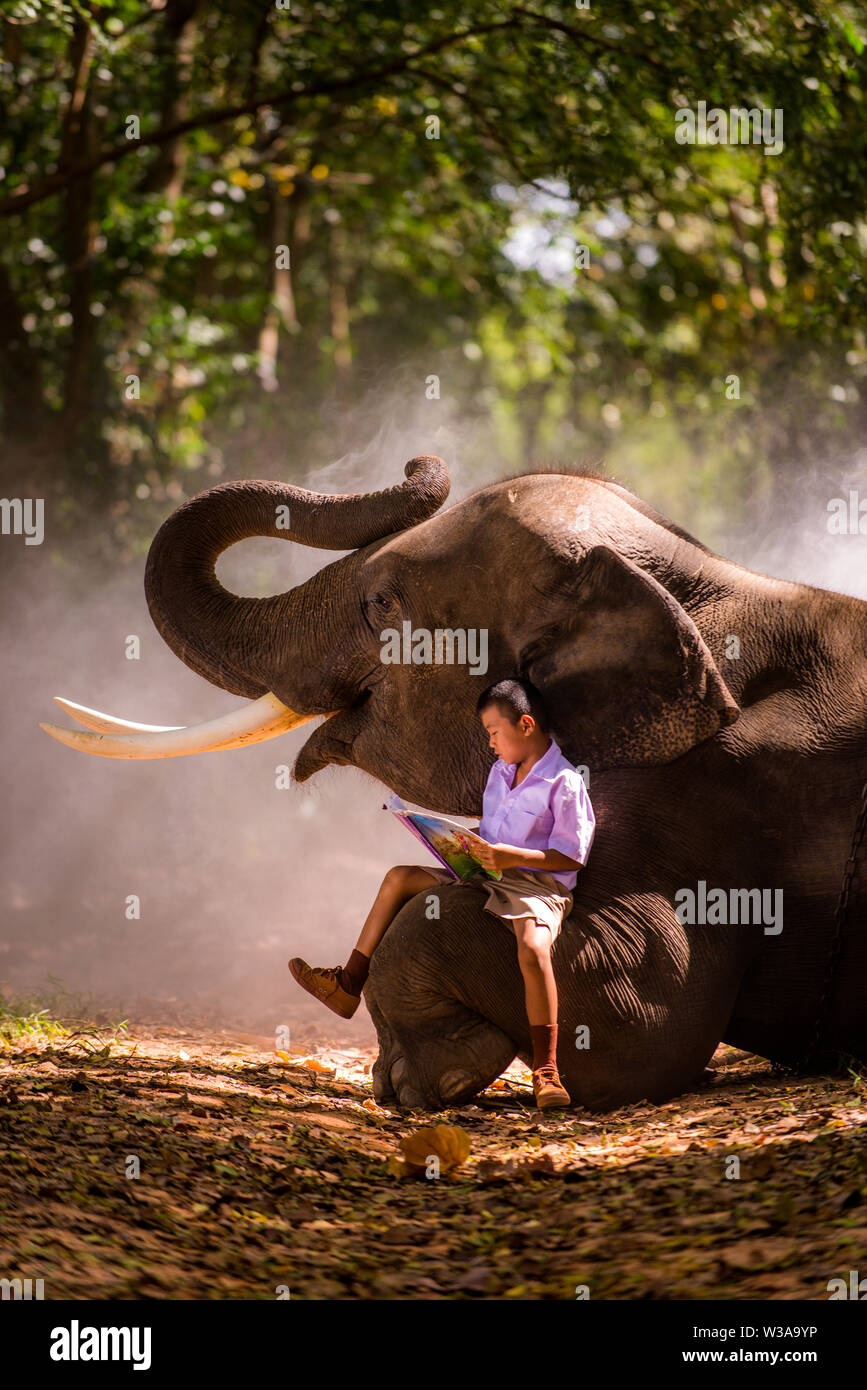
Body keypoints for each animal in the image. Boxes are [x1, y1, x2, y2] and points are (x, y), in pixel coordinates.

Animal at [42, 455, 867, 1111]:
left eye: (381, 603)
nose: (417, 464)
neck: (693, 584)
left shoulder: (730, 789)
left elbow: (639, 1019)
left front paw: (423, 1081)